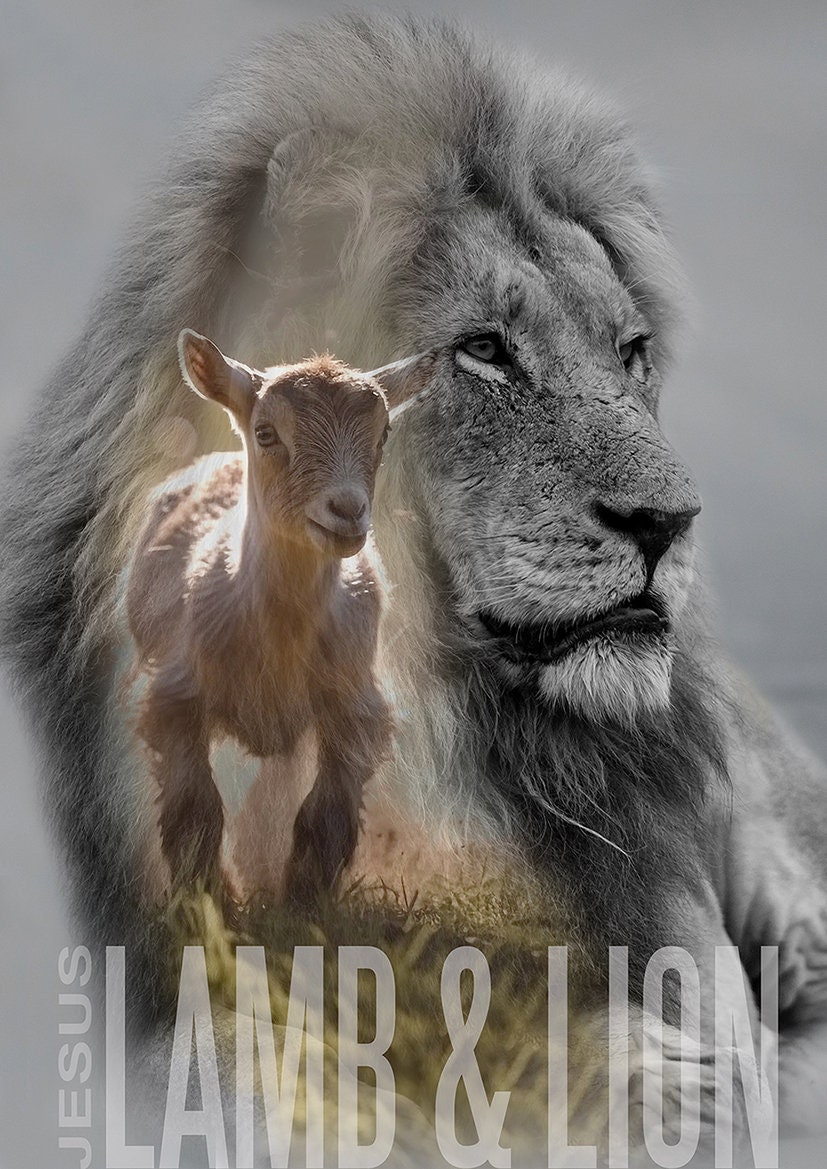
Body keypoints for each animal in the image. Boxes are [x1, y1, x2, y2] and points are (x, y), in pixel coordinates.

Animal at [125, 330, 430, 912]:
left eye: (384, 433)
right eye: (266, 433)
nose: (347, 511)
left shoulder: (353, 704)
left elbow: (324, 813)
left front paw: (302, 903)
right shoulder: (176, 696)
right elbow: (195, 808)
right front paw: (205, 900)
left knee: (279, 777)